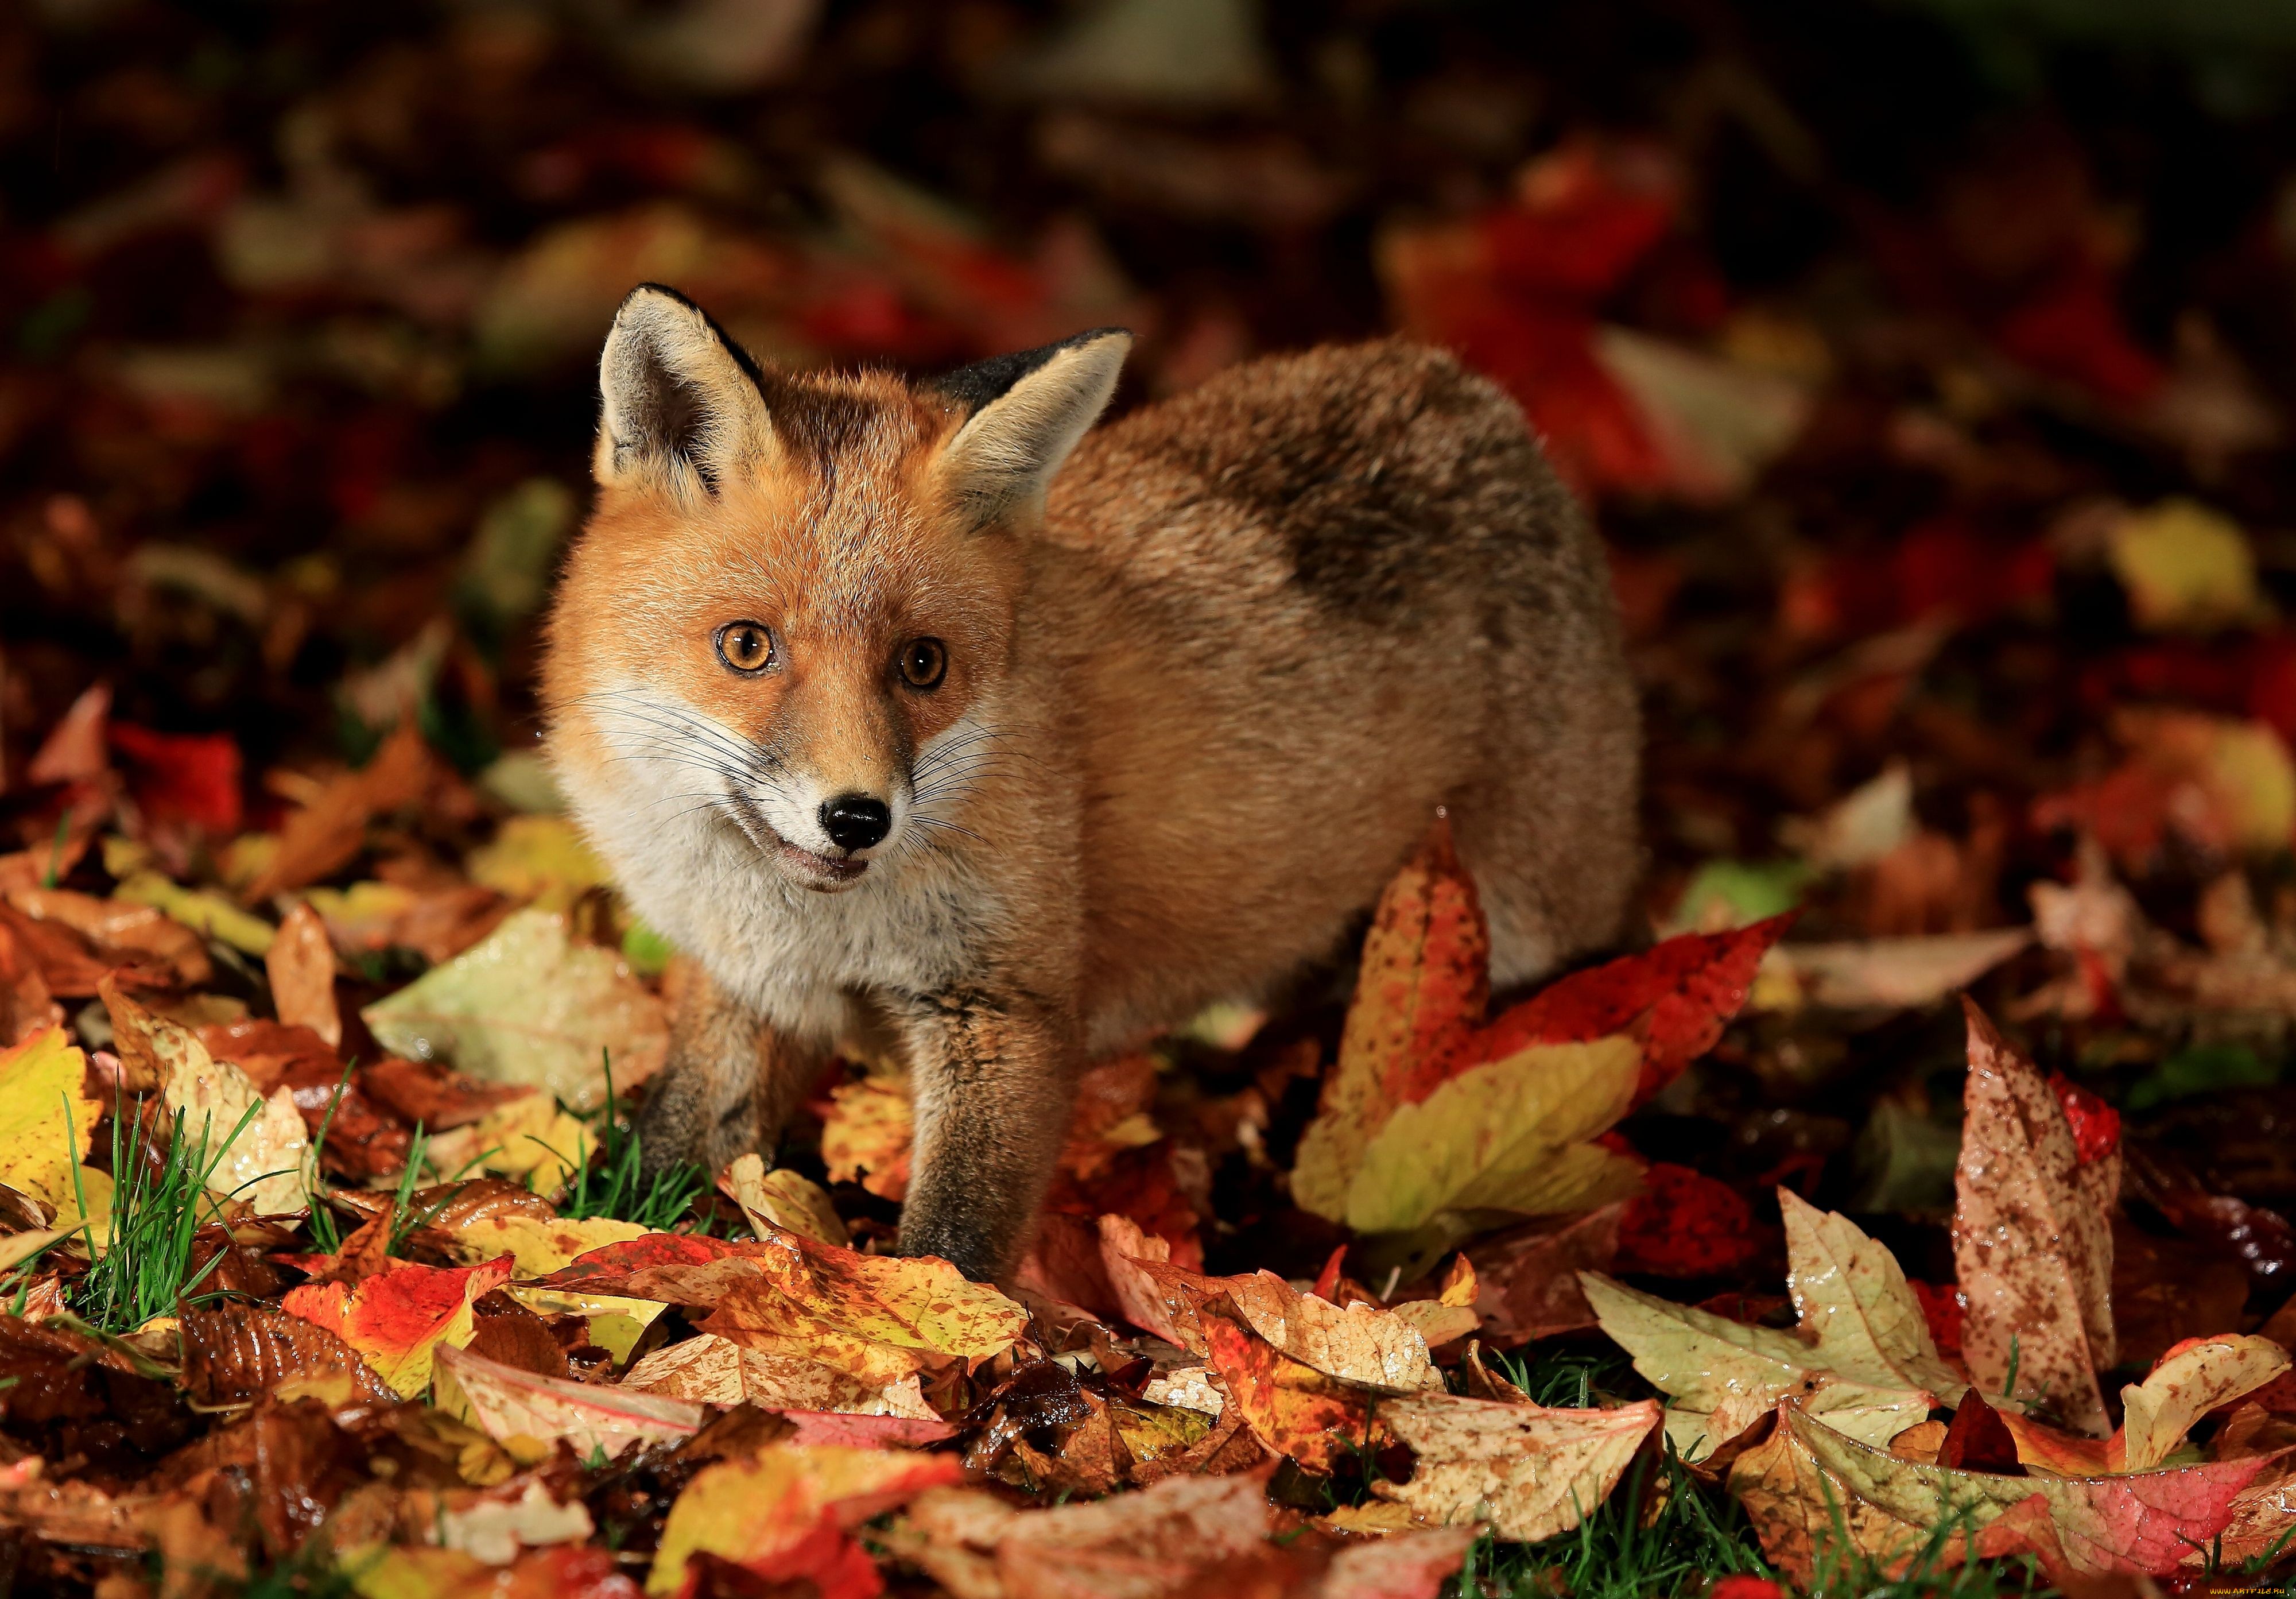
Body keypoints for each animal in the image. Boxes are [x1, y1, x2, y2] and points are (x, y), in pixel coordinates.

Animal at [541, 284, 1642, 1282]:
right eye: (747, 647)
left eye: (923, 665)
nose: (857, 818)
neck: (816, 927)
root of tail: (1471, 394)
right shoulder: (744, 985)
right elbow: (670, 1147)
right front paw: (602, 1245)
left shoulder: (1005, 1009)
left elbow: (955, 1244)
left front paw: (944, 1349)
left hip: (1530, 934)